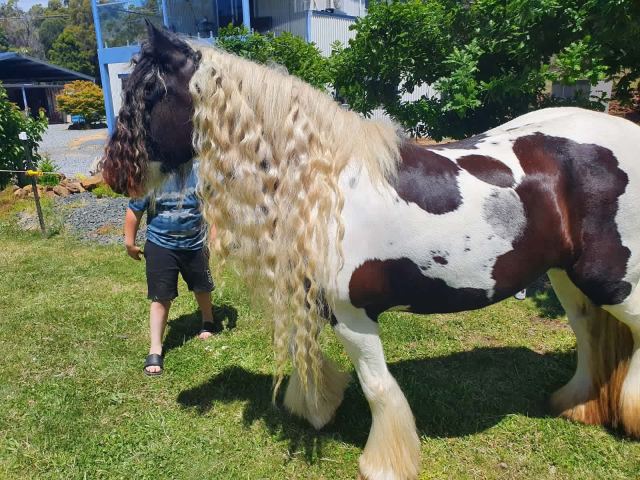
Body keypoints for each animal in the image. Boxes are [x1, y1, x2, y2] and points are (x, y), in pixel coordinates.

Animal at [100, 23, 640, 480]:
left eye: (149, 91)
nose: (113, 173)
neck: (322, 185)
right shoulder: (315, 301)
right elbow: (307, 355)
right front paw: (314, 407)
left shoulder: (354, 315)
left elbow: (379, 388)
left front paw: (384, 463)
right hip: (567, 276)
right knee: (588, 332)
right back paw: (575, 405)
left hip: (616, 281)